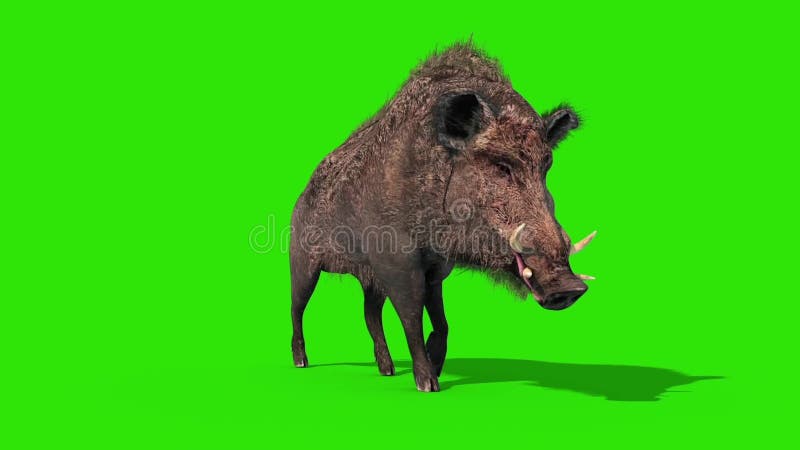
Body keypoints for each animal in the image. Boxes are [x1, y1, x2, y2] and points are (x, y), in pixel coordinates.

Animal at [289, 42, 596, 392]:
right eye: (501, 166)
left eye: (545, 168)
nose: (569, 287)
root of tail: (299, 198)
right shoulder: (398, 263)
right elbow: (411, 316)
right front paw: (429, 384)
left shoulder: (435, 268)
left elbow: (441, 320)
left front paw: (435, 365)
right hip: (302, 262)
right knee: (297, 306)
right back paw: (302, 362)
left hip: (368, 277)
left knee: (370, 313)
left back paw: (387, 370)